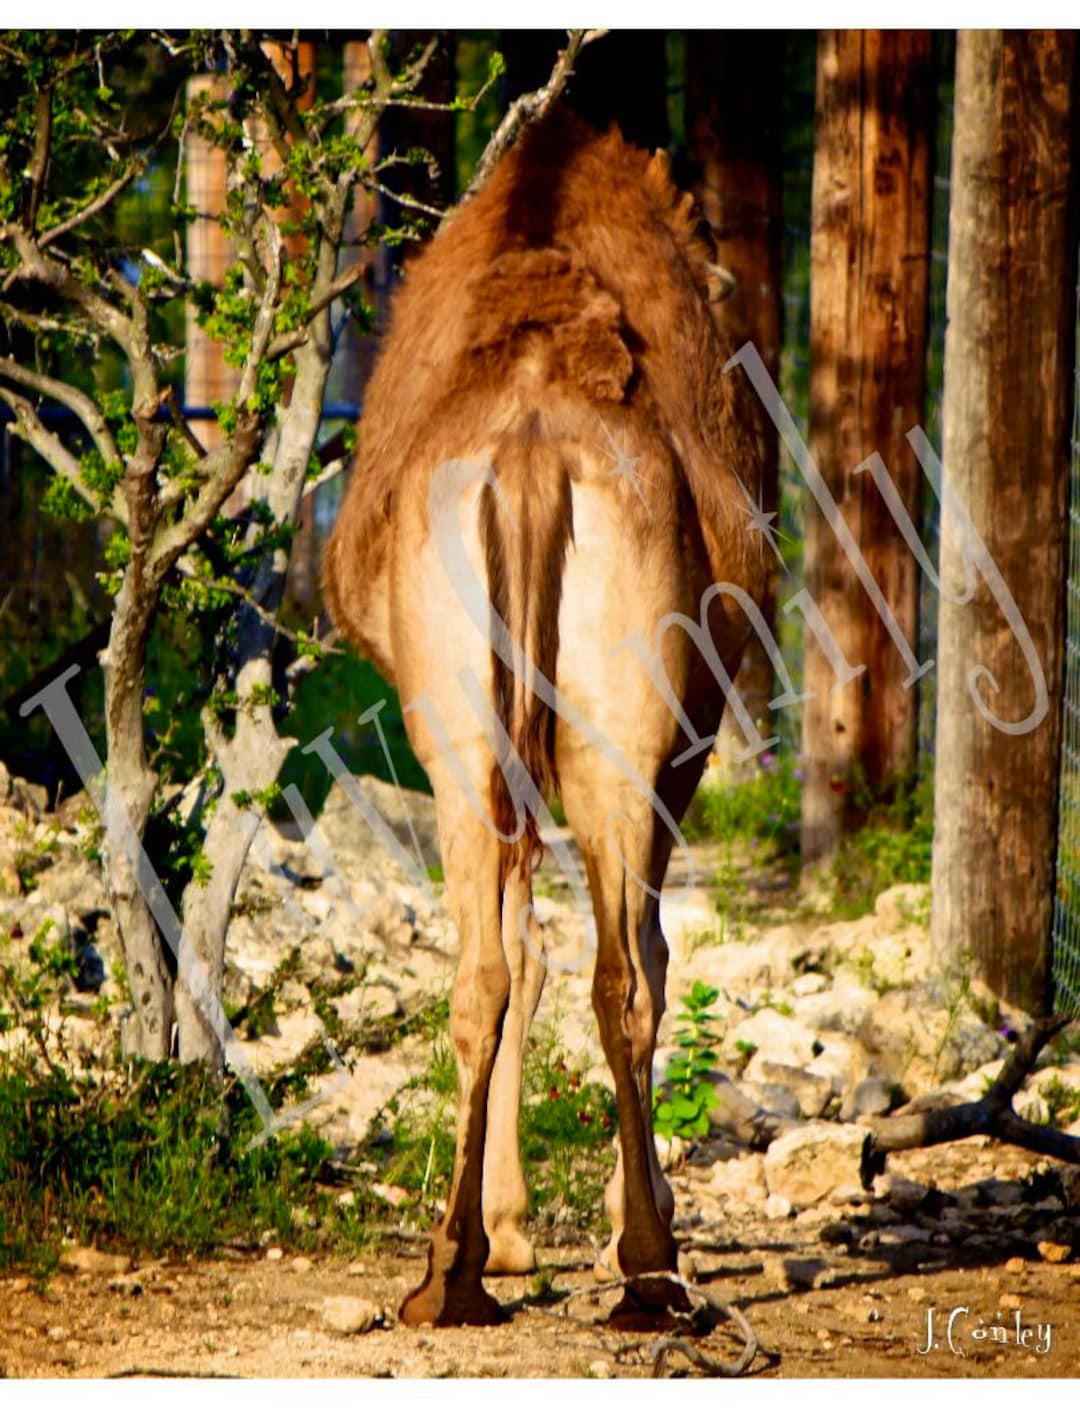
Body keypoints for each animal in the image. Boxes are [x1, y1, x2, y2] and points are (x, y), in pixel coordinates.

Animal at [322, 109, 769, 1327]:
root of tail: (526, 453)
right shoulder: (688, 737)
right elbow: (646, 947)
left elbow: (517, 947)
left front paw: (512, 1231)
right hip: (623, 715)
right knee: (623, 973)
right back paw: (650, 1266)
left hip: (456, 721)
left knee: (484, 967)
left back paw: (450, 1270)